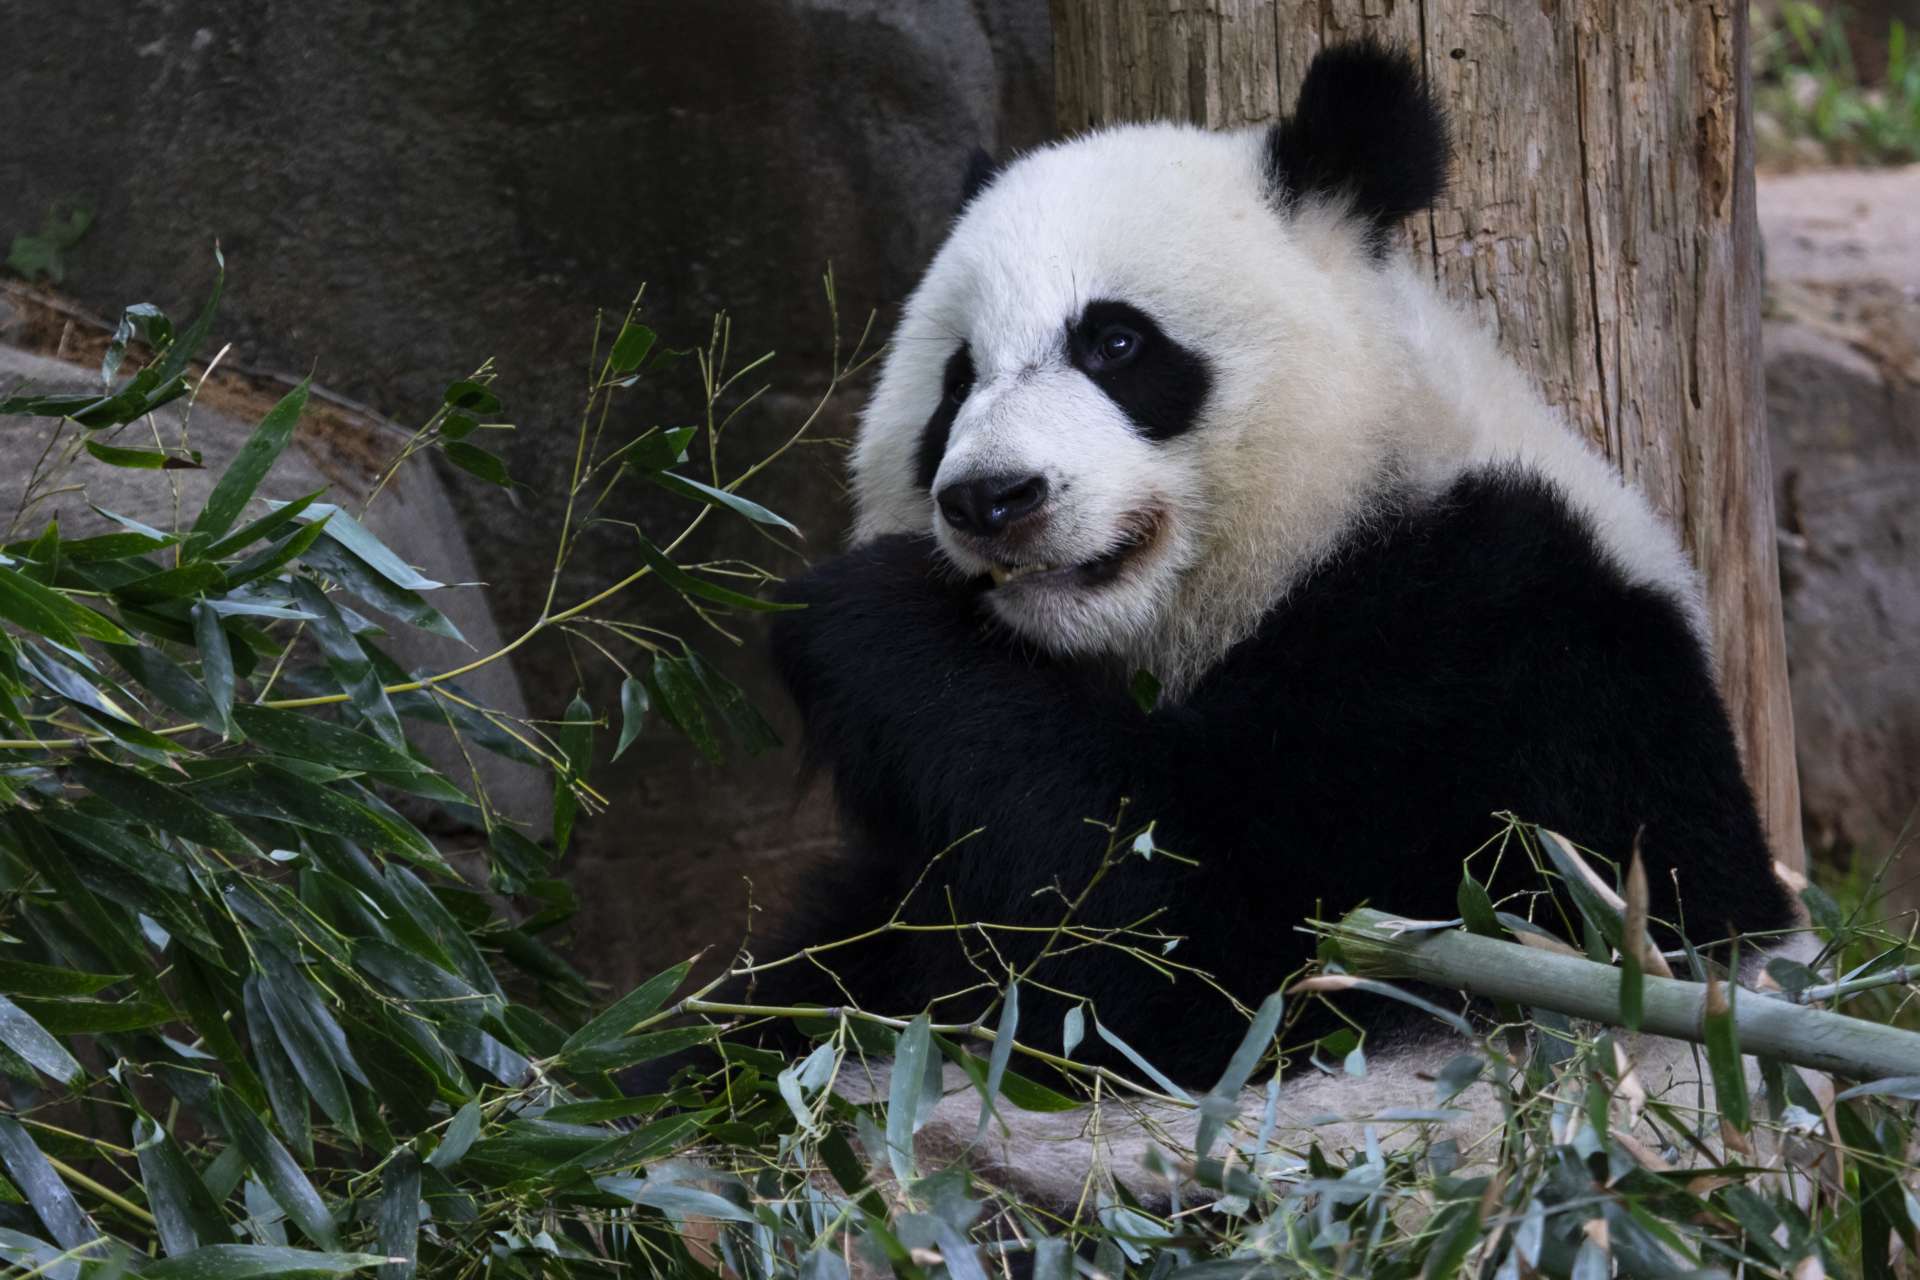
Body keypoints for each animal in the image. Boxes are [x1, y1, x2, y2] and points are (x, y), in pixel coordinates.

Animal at [759, 43, 1796, 1099]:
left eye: (1116, 342)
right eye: (958, 380)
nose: (991, 498)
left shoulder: (1514, 659)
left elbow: (1205, 954)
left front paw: (861, 608)